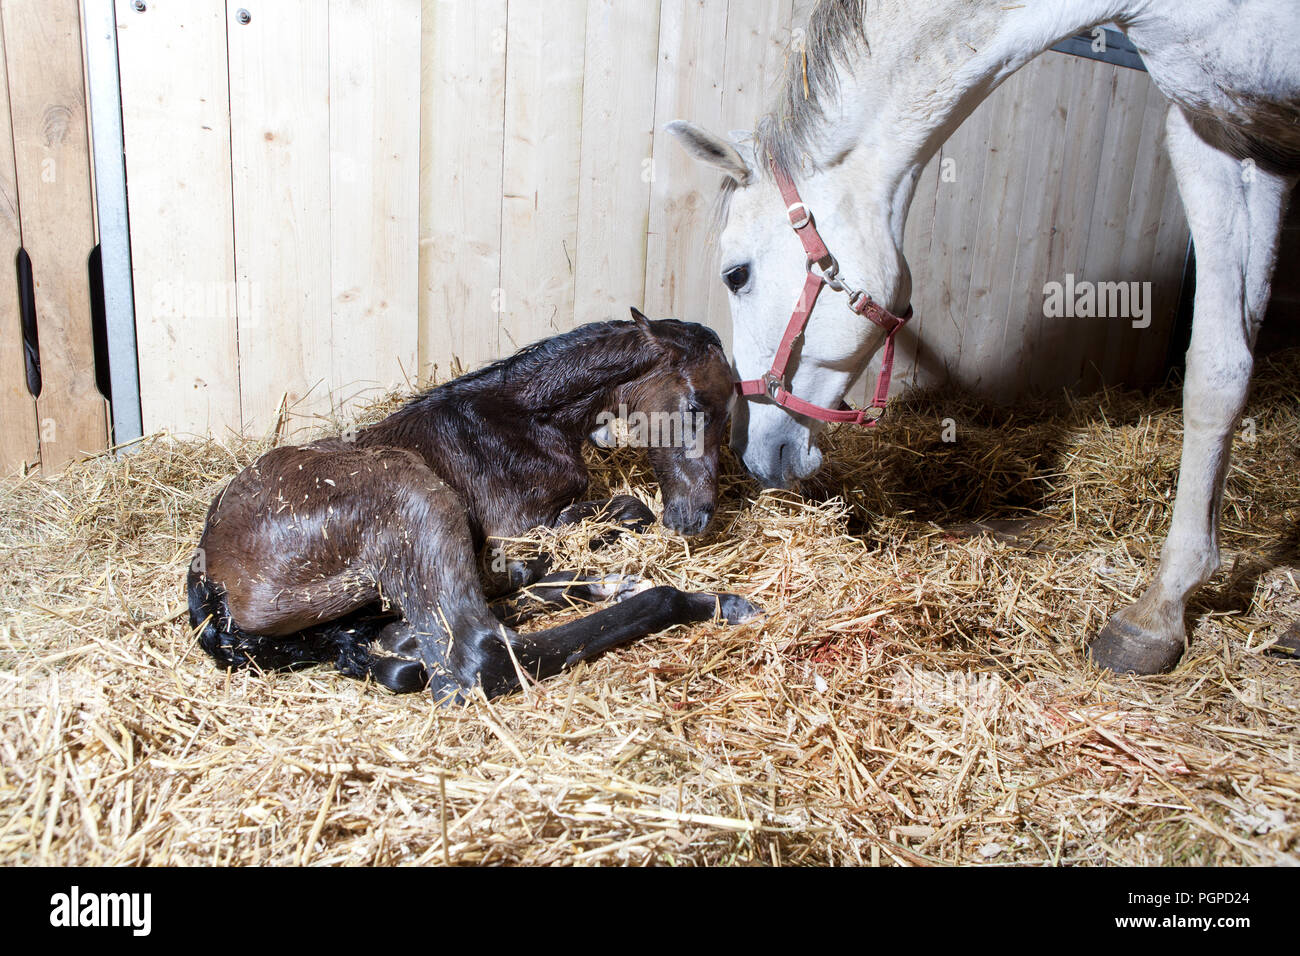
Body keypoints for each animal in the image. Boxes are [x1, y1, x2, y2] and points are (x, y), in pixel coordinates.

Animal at [187, 310, 761, 701]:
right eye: (696, 407)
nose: (696, 517)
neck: (526, 419)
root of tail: (210, 576)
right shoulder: (518, 528)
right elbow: (622, 513)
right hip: (412, 492)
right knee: (479, 653)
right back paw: (704, 601)